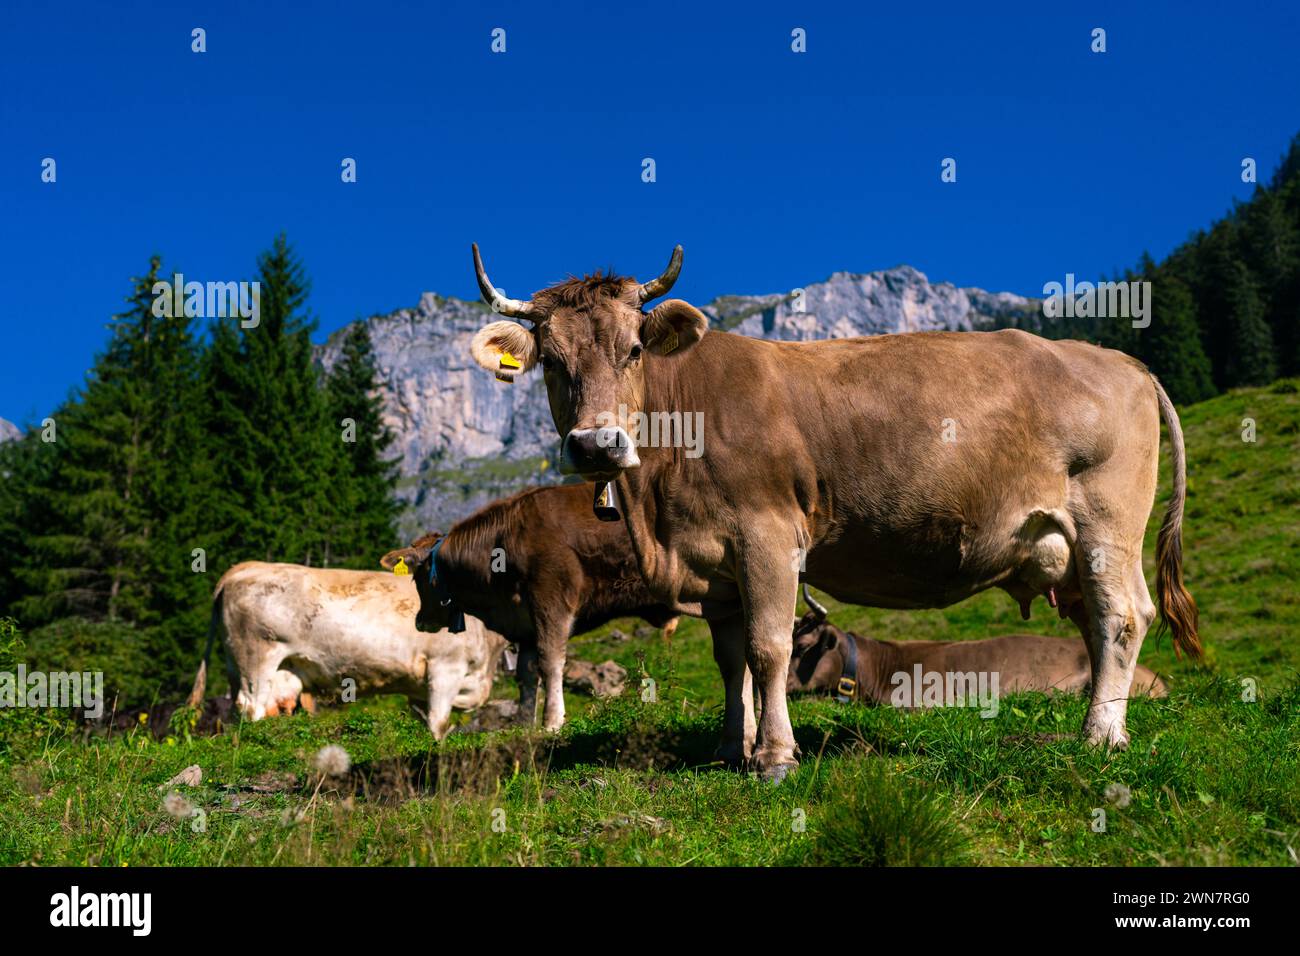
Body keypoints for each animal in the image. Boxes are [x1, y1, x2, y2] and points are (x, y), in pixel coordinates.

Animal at [185, 562, 506, 740]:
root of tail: (245, 567)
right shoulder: (445, 667)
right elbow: (439, 722)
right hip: (255, 659)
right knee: (251, 706)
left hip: (254, 666)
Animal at [379, 482, 681, 731]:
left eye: (417, 577)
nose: (420, 621)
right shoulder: (526, 622)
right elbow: (526, 673)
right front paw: (523, 724)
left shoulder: (550, 600)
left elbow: (550, 662)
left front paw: (552, 721)